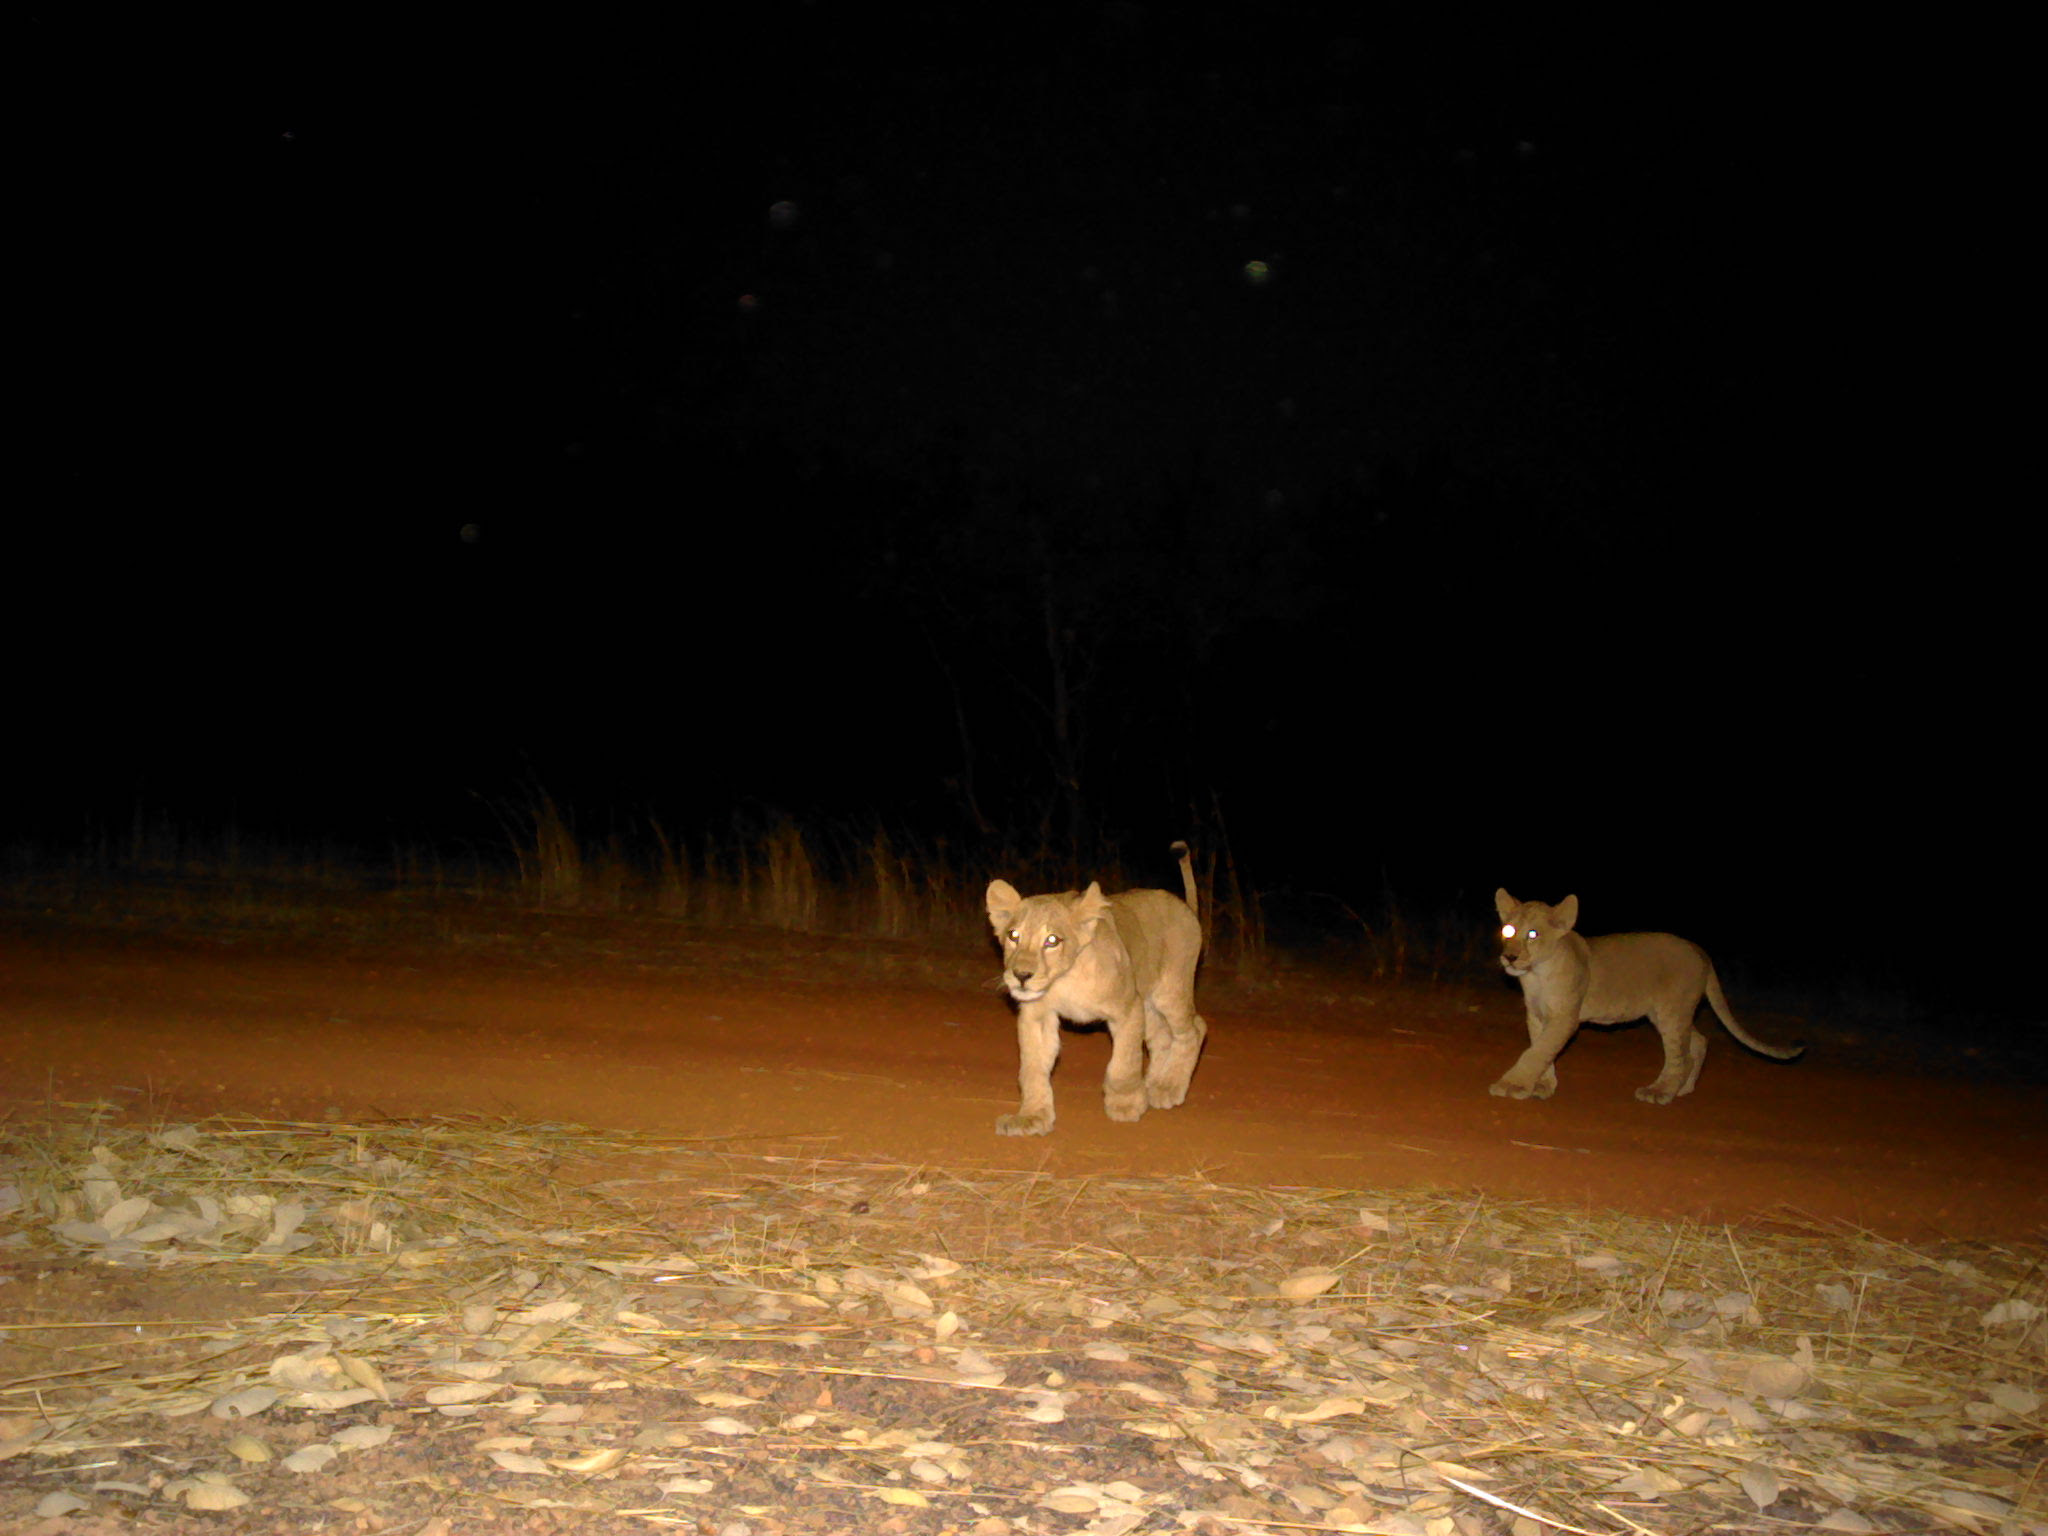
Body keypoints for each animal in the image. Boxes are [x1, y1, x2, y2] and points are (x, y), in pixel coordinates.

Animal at [983, 842, 1208, 1136]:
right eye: (1014, 936)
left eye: (1052, 940)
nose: (1021, 975)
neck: (1064, 980)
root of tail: (1185, 907)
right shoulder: (1037, 1017)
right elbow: (1032, 1069)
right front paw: (1032, 1117)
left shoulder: (1127, 1009)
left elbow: (1124, 1064)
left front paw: (1125, 1104)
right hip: (1148, 1003)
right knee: (1162, 1039)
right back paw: (1154, 1084)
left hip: (1169, 991)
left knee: (1193, 1029)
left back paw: (1167, 1088)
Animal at [1491, 889, 1804, 1104]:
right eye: (1508, 929)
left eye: (1533, 934)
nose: (1509, 957)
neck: (1536, 975)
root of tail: (1698, 949)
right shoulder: (1537, 1016)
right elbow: (1541, 1050)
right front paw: (1542, 1085)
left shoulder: (1565, 1018)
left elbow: (1537, 1051)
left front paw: (1512, 1085)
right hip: (1669, 1013)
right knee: (1699, 1041)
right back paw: (1684, 1088)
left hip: (1671, 1011)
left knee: (1680, 1055)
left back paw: (1661, 1092)